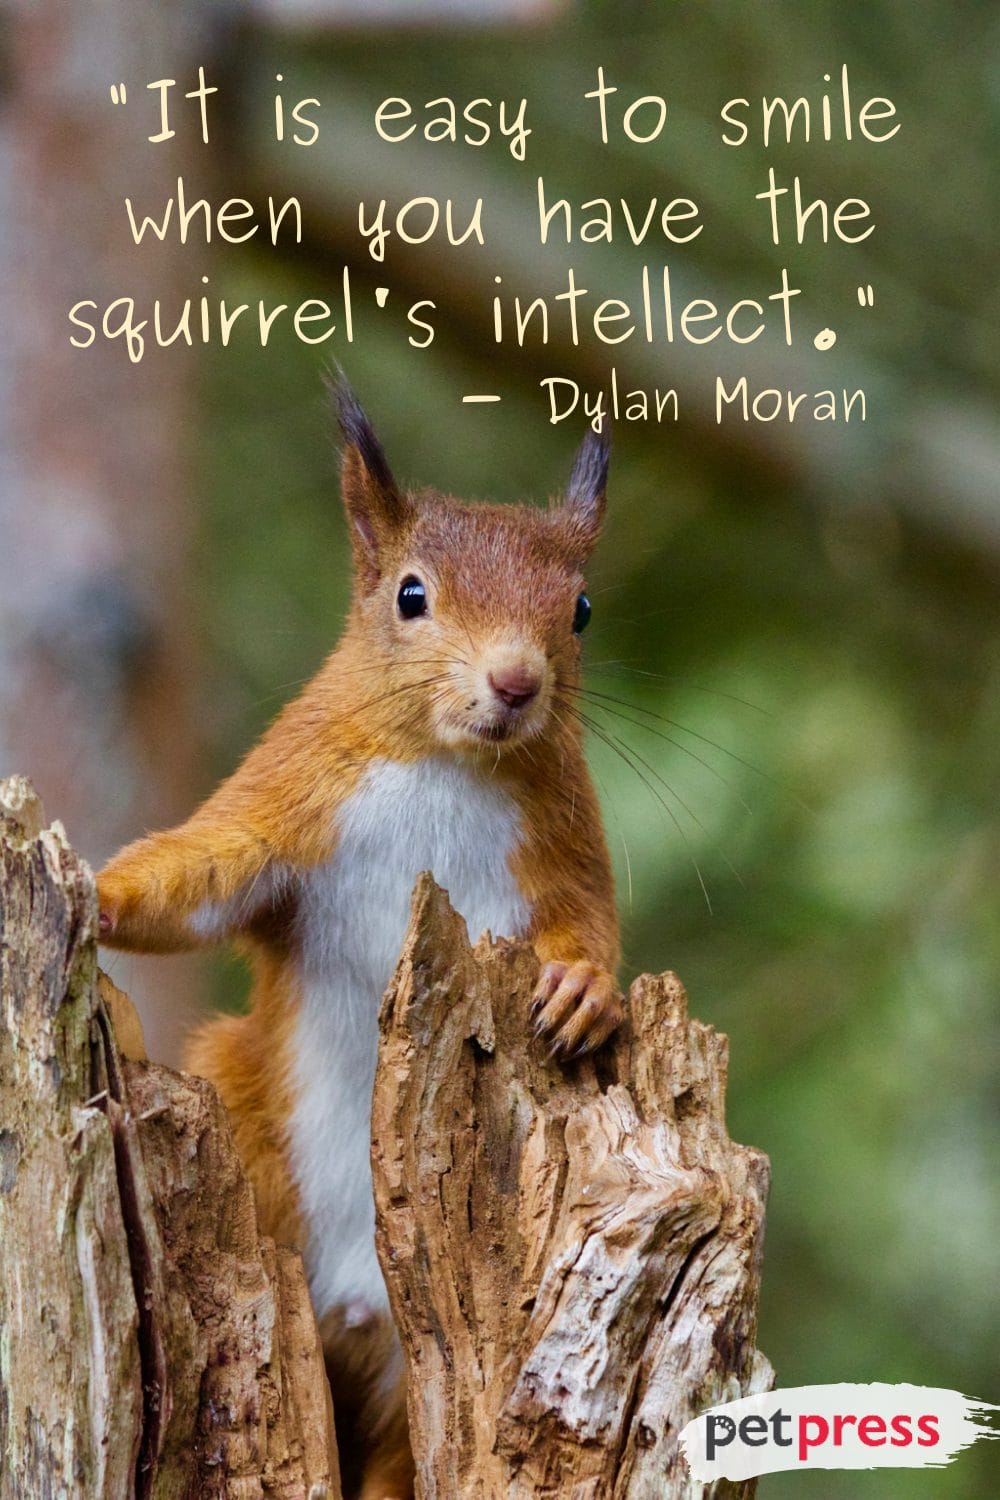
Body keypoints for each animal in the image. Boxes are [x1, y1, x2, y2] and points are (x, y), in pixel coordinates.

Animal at [96, 380, 623, 1500]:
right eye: (411, 596)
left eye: (581, 610)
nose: (516, 682)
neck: (445, 762)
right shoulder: (287, 801)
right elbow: (199, 876)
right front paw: (99, 890)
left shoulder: (563, 849)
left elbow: (591, 924)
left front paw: (584, 991)